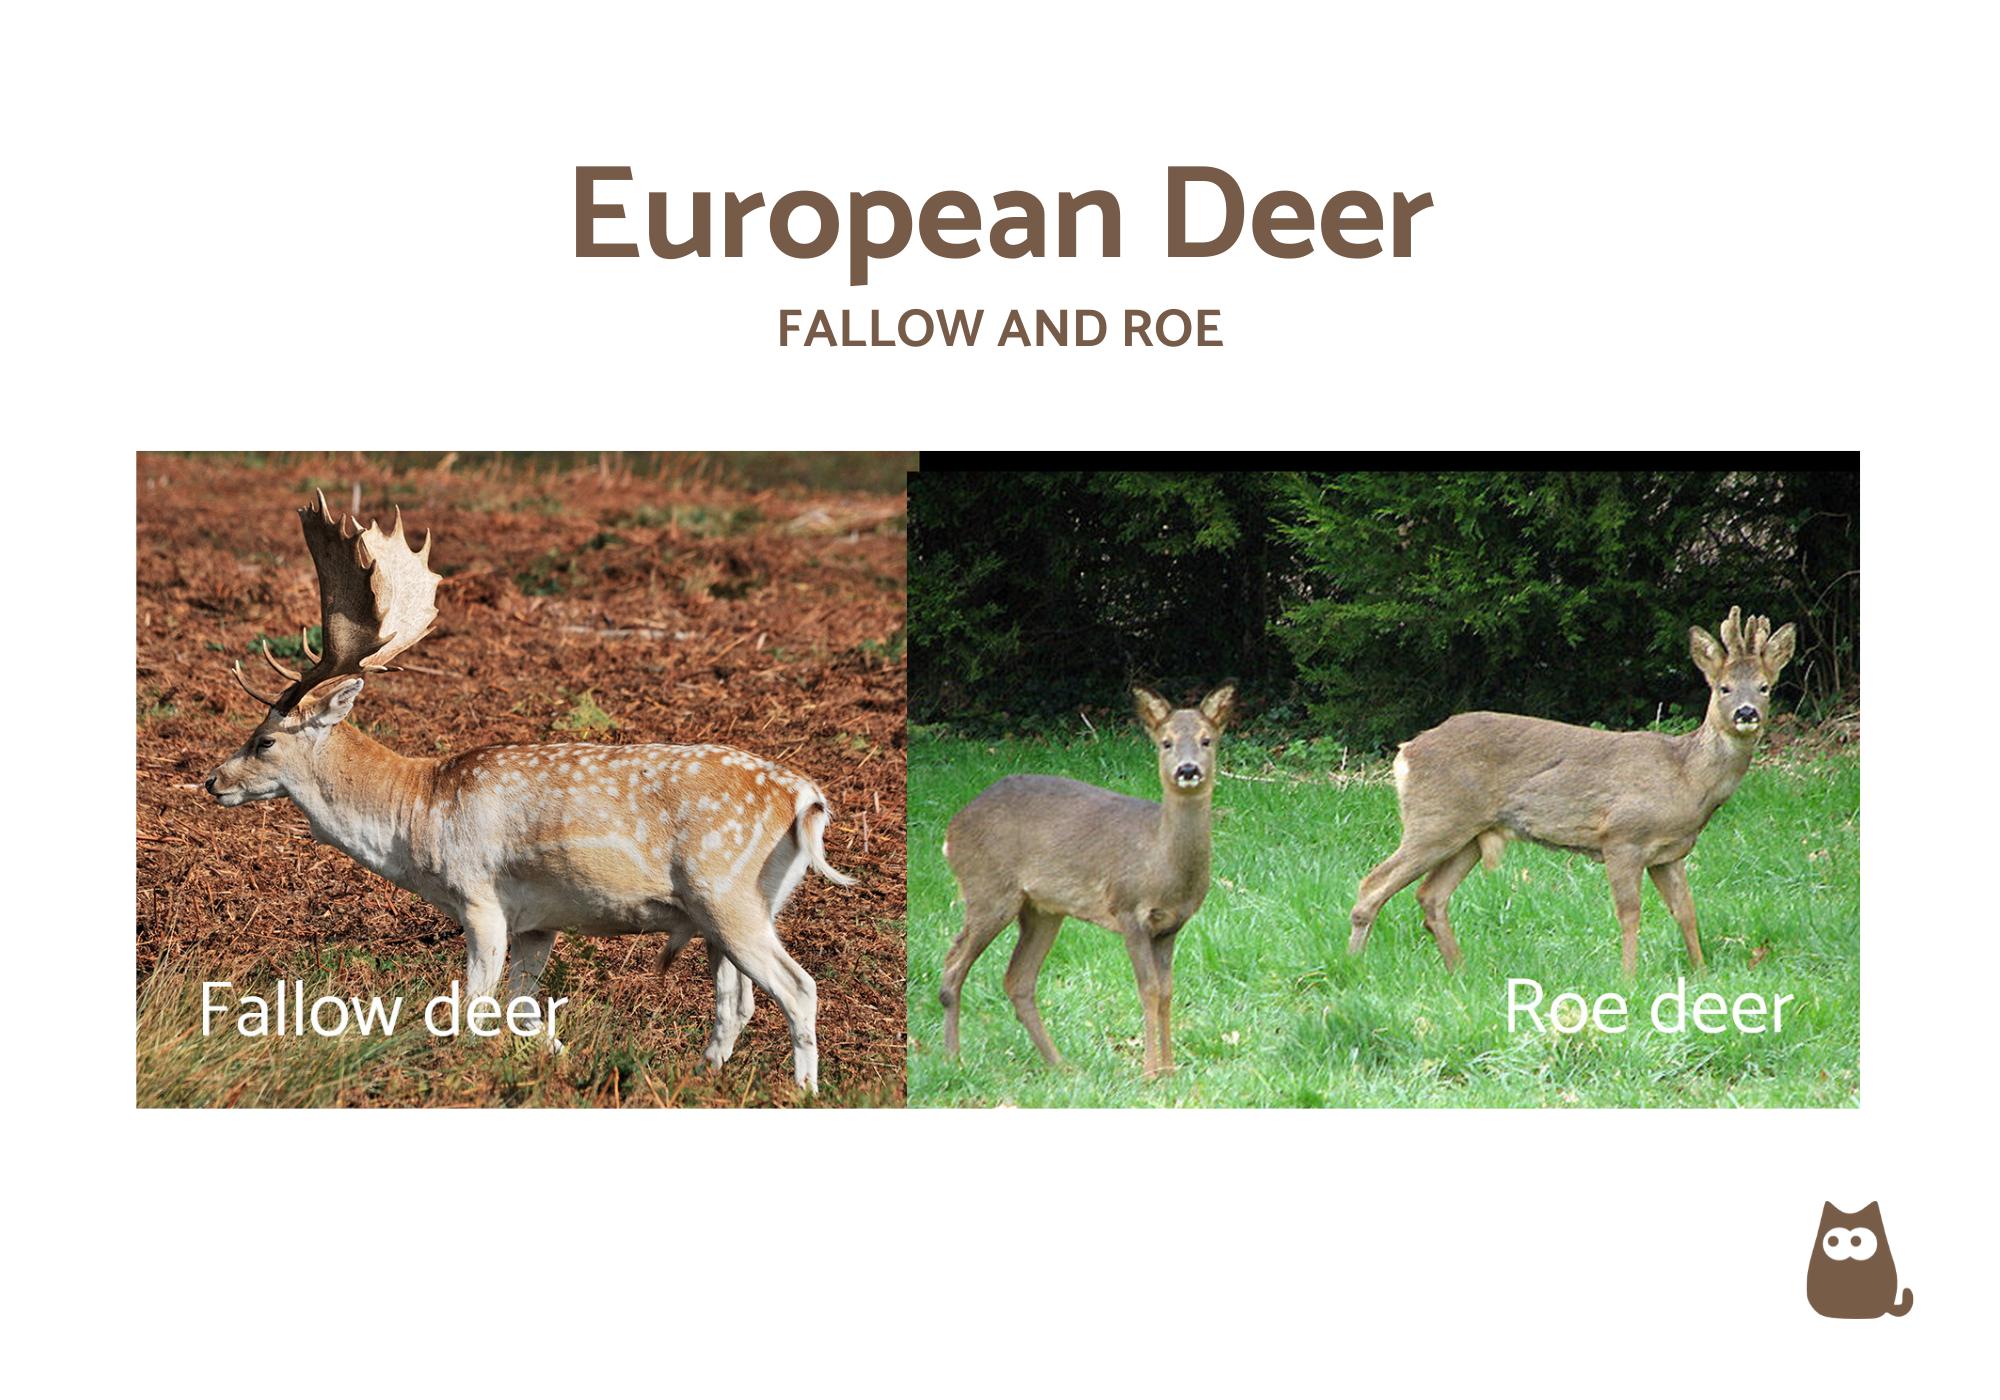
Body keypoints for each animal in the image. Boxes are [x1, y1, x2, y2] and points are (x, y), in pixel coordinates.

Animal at [202, 492, 855, 1091]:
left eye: (263, 740)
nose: (213, 781)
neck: (415, 815)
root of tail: (806, 799)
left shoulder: (479, 898)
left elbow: (476, 1005)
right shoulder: (537, 923)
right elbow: (523, 1009)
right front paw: (554, 1060)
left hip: (728, 894)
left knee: (799, 988)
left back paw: (803, 1090)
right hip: (740, 909)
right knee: (736, 1003)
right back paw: (699, 1078)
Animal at [938, 684, 1235, 1078]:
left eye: (1207, 740)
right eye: (1166, 742)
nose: (1188, 769)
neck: (1160, 864)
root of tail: (951, 831)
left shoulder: (1171, 926)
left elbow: (1167, 991)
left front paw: (1170, 1070)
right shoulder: (1128, 910)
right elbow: (1148, 989)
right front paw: (1149, 1073)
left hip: (1043, 910)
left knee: (1017, 979)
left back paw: (1060, 1064)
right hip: (988, 889)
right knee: (954, 963)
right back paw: (954, 1059)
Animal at [1347, 606, 1797, 978]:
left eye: (1765, 687)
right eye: (1723, 688)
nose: (1745, 713)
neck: (1686, 776)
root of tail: (1407, 752)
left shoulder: (1669, 853)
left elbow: (1685, 911)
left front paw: (1701, 974)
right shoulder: (1622, 836)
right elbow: (1629, 913)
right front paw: (1628, 979)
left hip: (1469, 835)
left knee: (1430, 896)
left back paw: (1461, 971)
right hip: (1435, 820)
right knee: (1373, 884)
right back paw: (1354, 968)